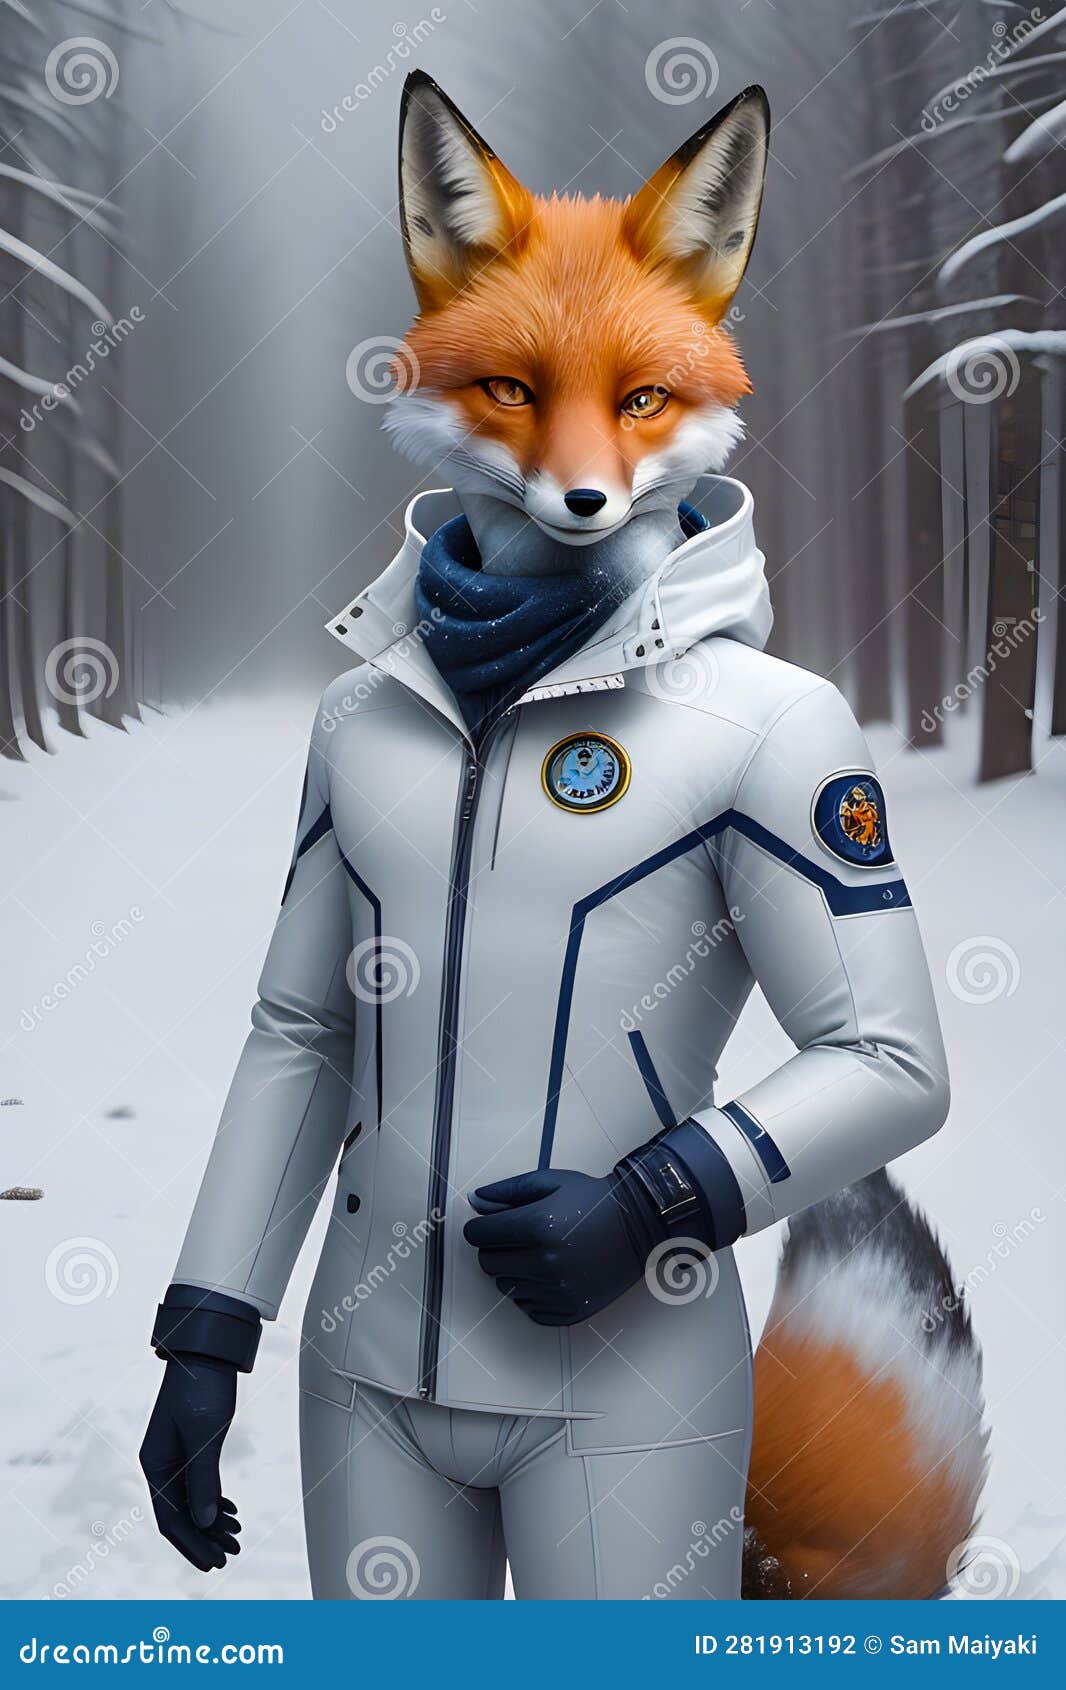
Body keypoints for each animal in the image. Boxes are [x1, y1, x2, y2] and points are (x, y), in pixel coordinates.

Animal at [378, 71, 988, 1600]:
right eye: (513, 390)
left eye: (642, 399)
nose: (586, 501)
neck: (514, 689)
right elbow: (286, 1042)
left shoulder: (828, 782)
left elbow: (888, 1058)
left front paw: (576, 1232)